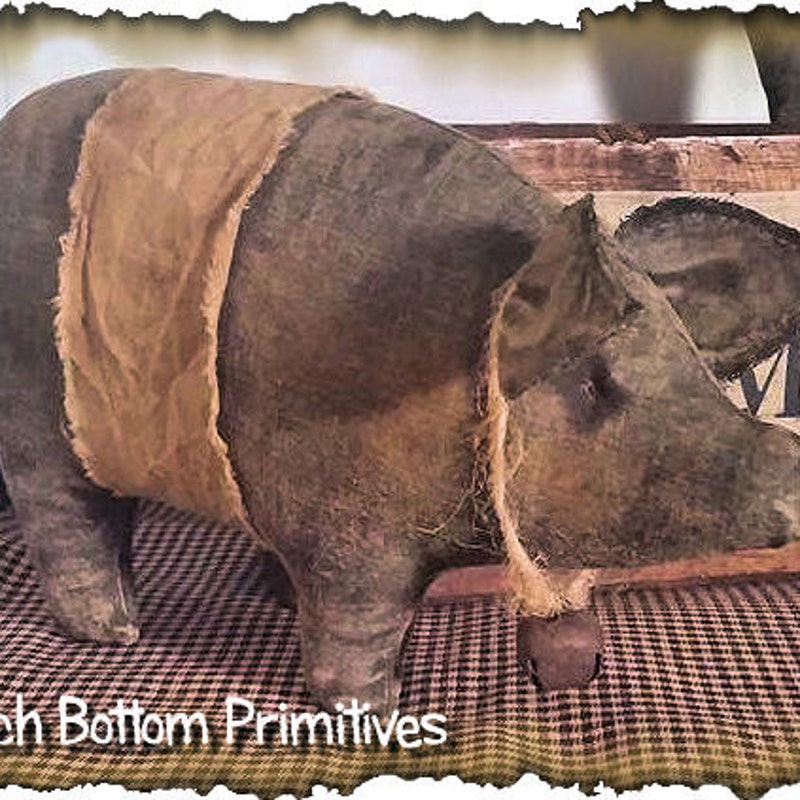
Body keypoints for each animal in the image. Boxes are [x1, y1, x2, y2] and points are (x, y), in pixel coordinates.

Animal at [0, 70, 798, 713]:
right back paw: (116, 631)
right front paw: (375, 711)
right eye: (594, 384)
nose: (788, 464)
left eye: (693, 363)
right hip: (35, 425)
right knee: (66, 521)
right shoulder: (348, 533)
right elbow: (361, 624)